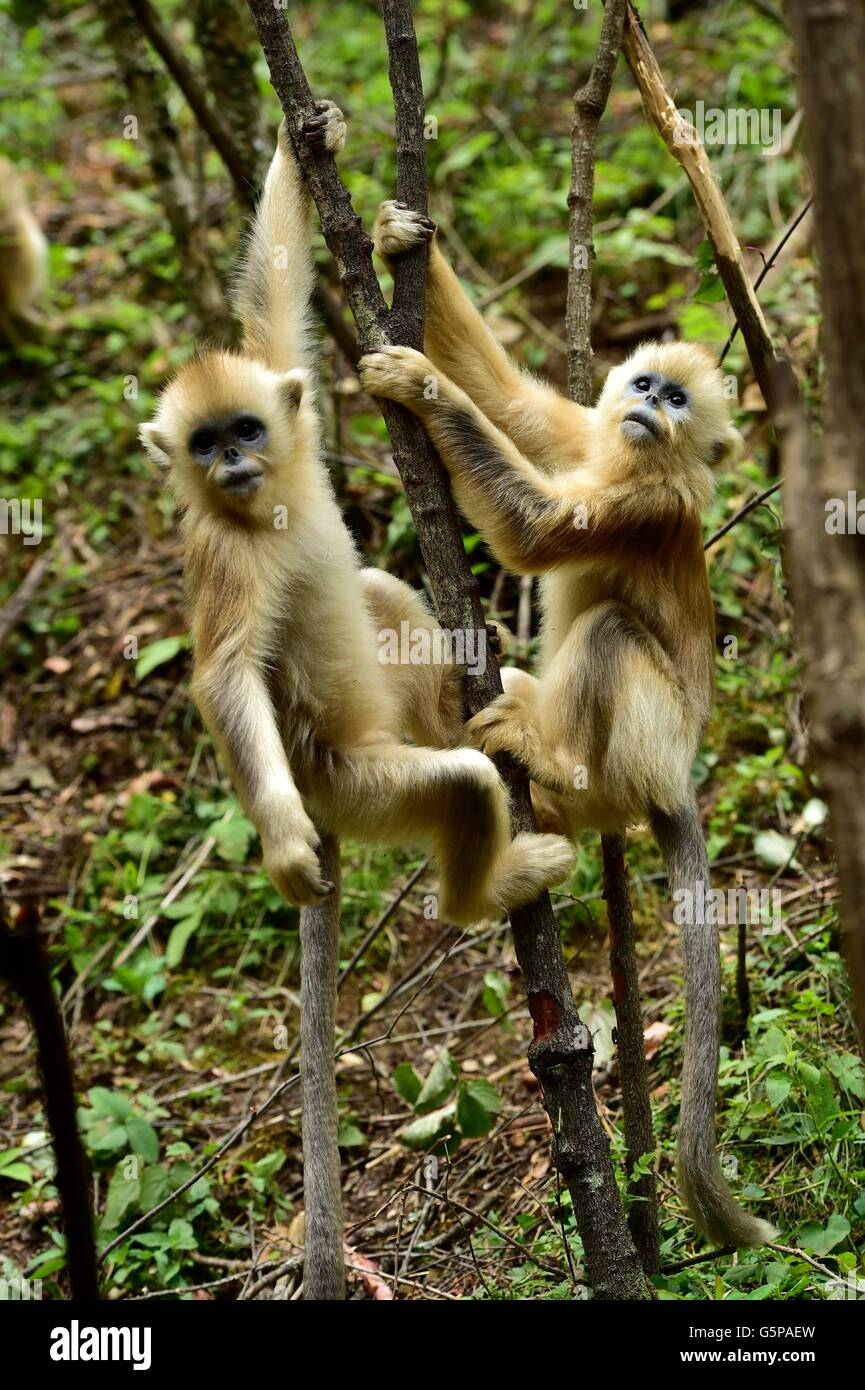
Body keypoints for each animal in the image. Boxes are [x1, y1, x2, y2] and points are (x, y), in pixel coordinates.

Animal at [139, 116, 574, 933]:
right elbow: (224, 675)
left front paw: (306, 143)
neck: (267, 511)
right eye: (203, 445)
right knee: (463, 785)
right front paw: (282, 845)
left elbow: (274, 295)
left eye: (245, 430)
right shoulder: (220, 554)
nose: (230, 461)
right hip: (359, 787)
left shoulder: (294, 416)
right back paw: (490, 887)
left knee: (380, 592)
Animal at [359, 201, 777, 1250]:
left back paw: (553, 772)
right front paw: (399, 238)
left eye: (678, 401)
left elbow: (536, 531)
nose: (648, 404)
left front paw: (417, 384)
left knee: (611, 630)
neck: (633, 455)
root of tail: (674, 781)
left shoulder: (645, 500)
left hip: (642, 745)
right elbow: (512, 404)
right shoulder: (590, 436)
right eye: (644, 385)